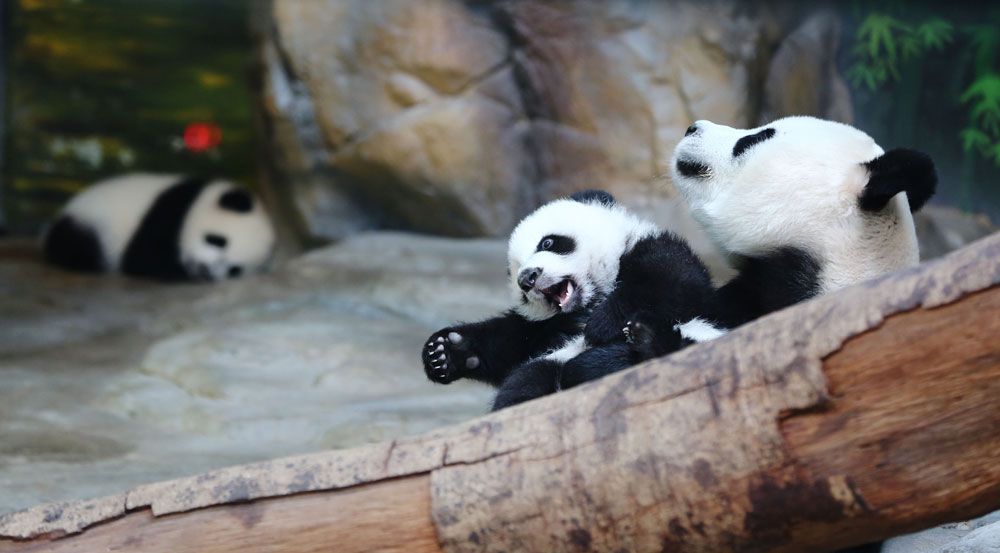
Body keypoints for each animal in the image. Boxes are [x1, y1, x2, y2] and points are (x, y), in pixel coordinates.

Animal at [42, 173, 276, 281]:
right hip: (89, 224)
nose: (205, 269)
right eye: (217, 240)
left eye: (234, 270)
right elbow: (143, 258)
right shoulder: (167, 212)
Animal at [422, 190, 719, 410]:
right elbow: (509, 344)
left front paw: (602, 324)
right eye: (514, 270)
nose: (527, 278)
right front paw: (445, 351)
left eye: (548, 243)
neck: (586, 304)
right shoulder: (544, 331)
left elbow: (674, 285)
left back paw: (647, 341)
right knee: (528, 381)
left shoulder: (655, 253)